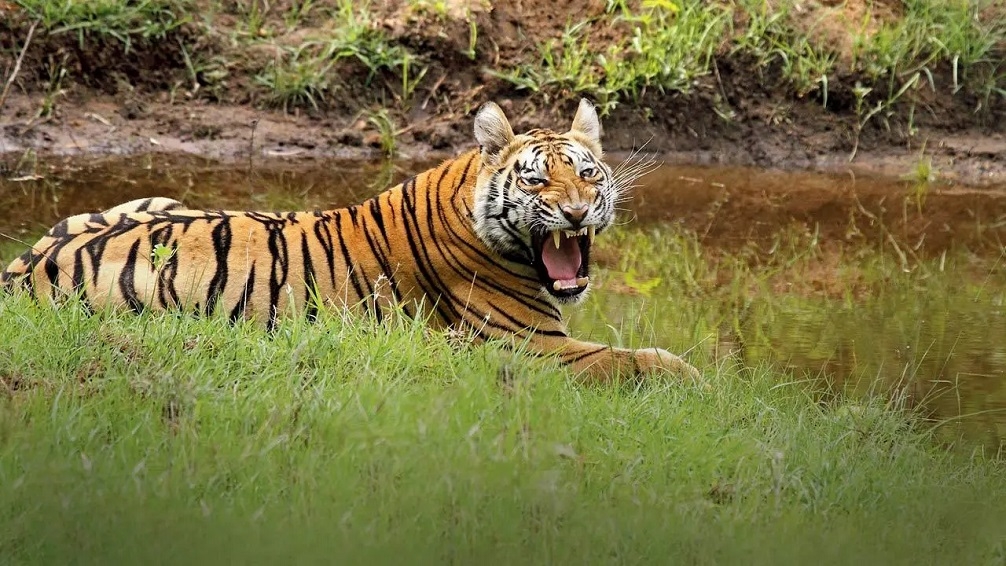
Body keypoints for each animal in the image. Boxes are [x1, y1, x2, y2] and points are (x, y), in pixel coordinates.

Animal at [1, 99, 700, 383]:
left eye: (588, 174)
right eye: (536, 179)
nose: (579, 212)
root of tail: (23, 270)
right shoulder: (529, 345)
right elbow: (639, 359)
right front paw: (702, 382)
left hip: (153, 199)